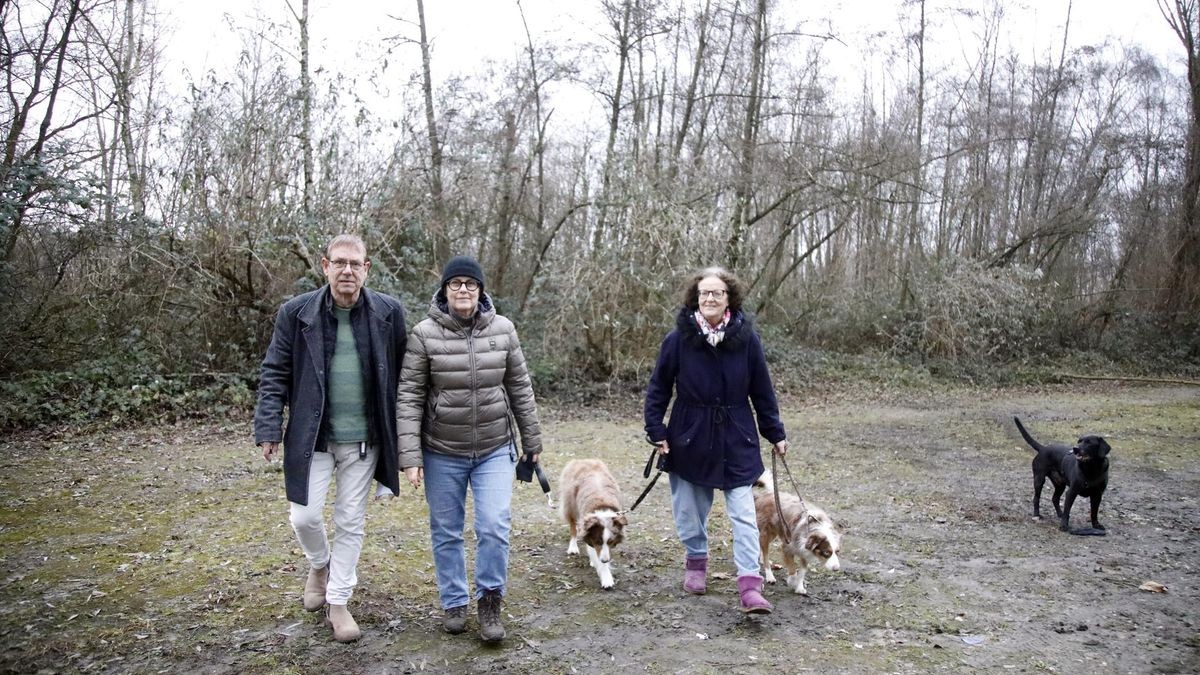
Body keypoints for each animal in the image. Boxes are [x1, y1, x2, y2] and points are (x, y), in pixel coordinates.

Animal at [556, 458, 628, 586]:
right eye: (598, 541)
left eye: (610, 542)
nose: (605, 560)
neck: (602, 509)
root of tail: (583, 460)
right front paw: (607, 579)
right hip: (570, 505)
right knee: (573, 528)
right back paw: (573, 548)